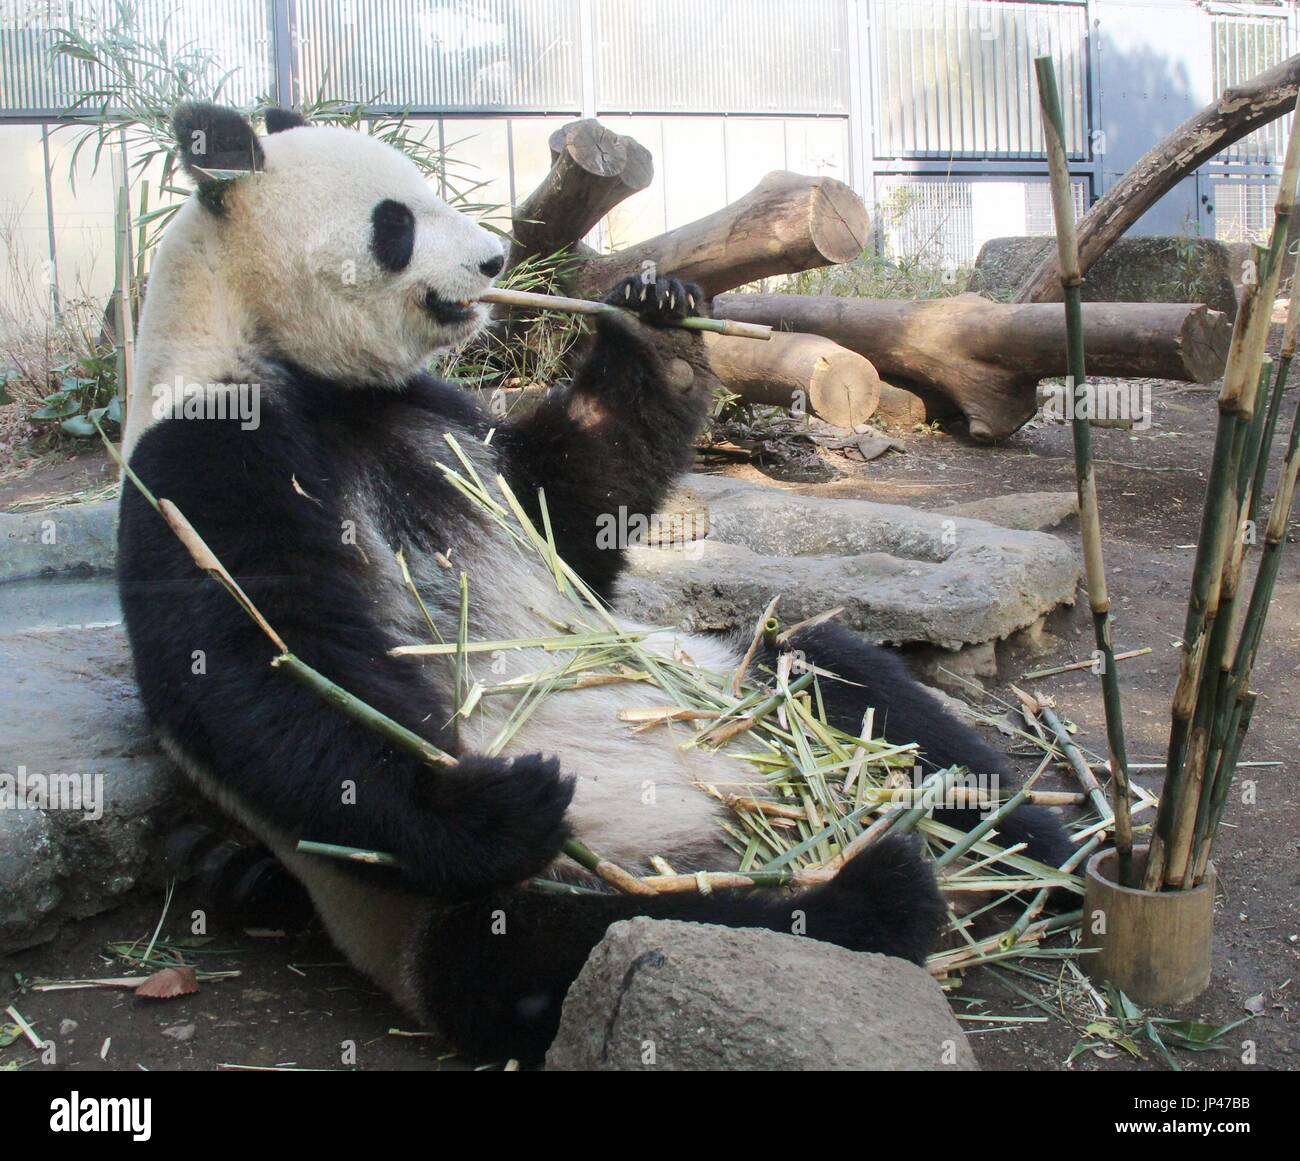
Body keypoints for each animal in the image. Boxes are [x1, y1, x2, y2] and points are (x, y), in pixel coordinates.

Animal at [117, 102, 1074, 1064]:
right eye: (397, 223)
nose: (494, 262)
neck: (294, 364)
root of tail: (739, 820)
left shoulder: (443, 418)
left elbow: (568, 513)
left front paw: (663, 326)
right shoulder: (205, 449)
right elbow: (258, 664)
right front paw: (488, 804)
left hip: (739, 689)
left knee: (843, 676)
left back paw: (1044, 849)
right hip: (478, 901)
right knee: (586, 946)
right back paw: (873, 892)